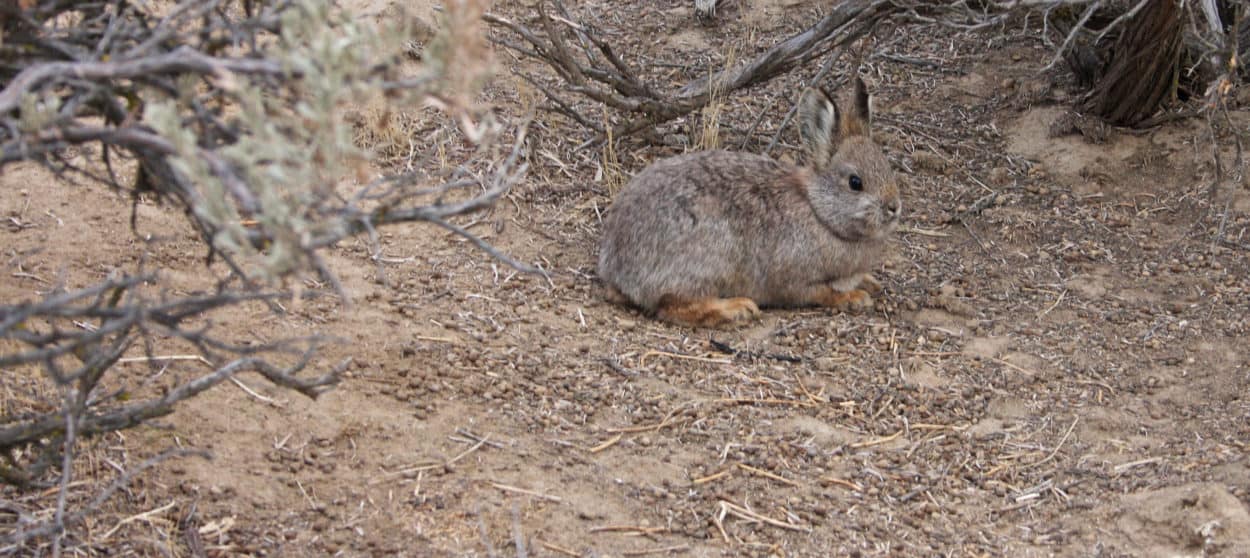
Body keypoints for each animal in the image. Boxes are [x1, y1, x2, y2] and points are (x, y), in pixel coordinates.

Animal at [597, 77, 901, 327]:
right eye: (855, 183)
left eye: (888, 168)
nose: (894, 207)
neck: (819, 212)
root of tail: (615, 265)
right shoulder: (794, 279)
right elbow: (820, 292)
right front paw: (854, 297)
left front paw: (870, 283)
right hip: (710, 258)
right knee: (673, 305)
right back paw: (736, 309)